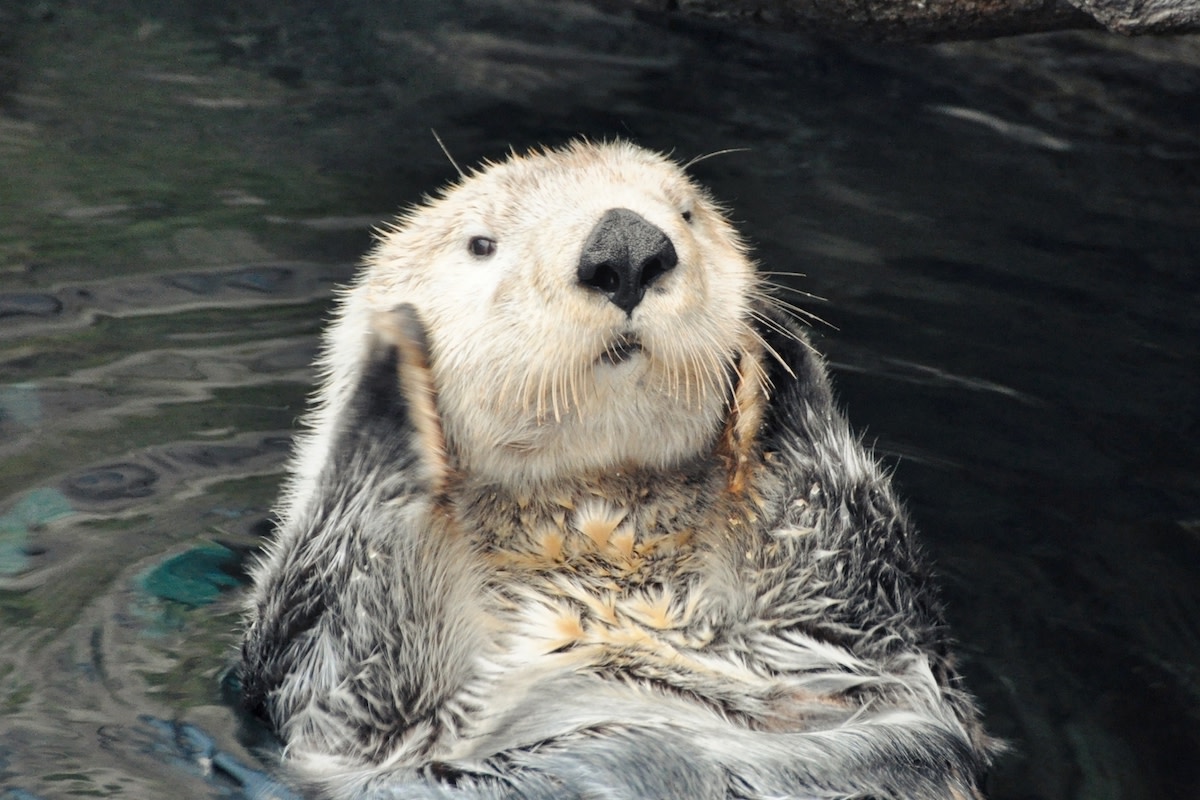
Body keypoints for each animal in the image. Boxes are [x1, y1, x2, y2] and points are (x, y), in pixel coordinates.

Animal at [240, 140, 998, 799]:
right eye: (480, 244)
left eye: (687, 212)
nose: (627, 246)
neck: (597, 534)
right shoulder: (335, 694)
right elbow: (361, 629)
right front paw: (391, 366)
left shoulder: (866, 650)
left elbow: (849, 560)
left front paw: (775, 349)